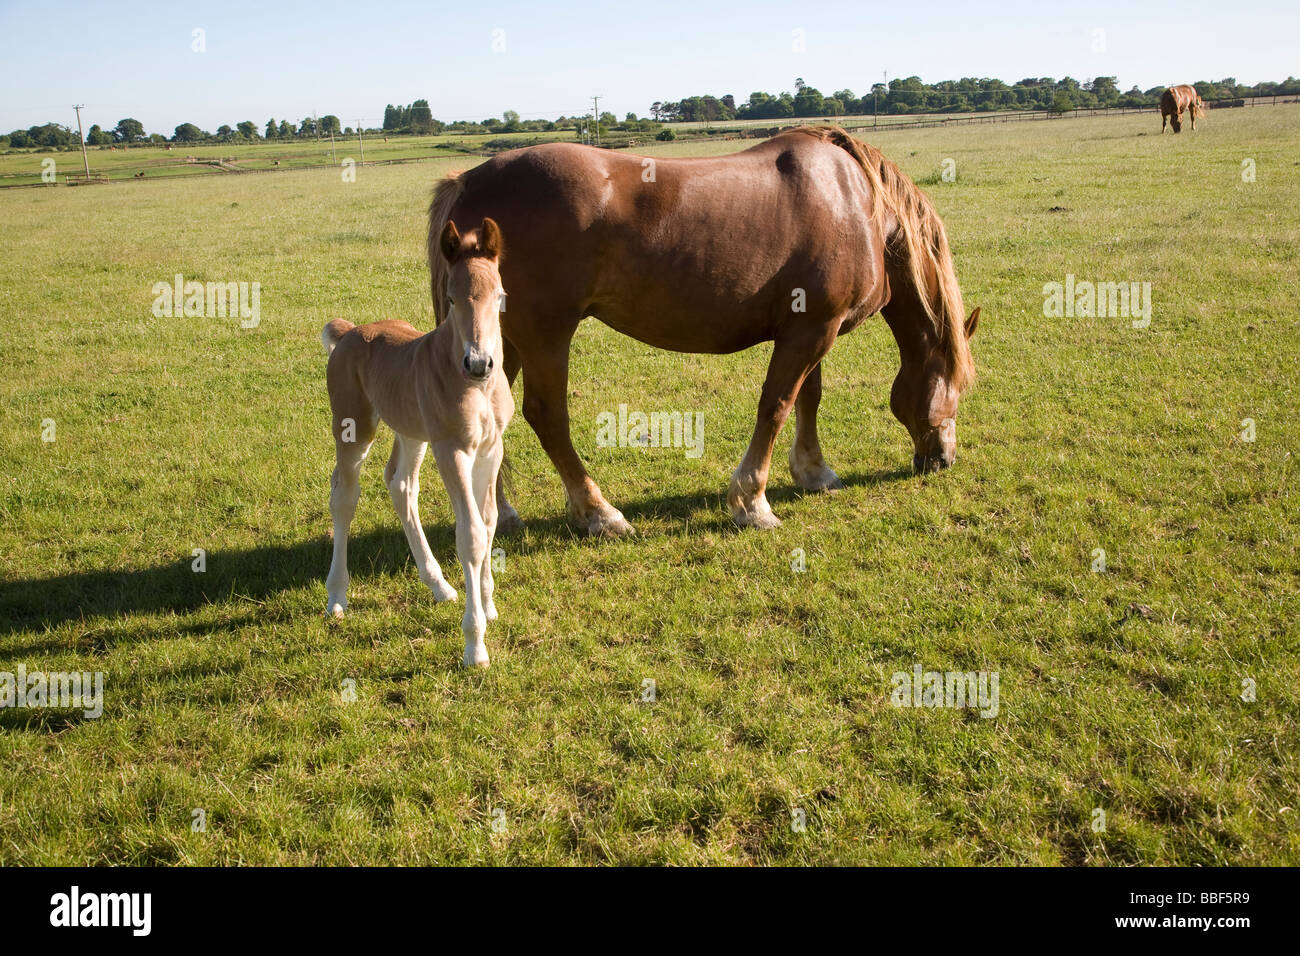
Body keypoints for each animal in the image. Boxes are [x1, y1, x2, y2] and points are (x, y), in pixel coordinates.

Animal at [322, 218, 512, 668]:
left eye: (499, 296)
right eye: (451, 298)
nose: (479, 363)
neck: (477, 389)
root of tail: (349, 332)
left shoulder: (490, 449)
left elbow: (489, 522)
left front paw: (488, 604)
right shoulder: (452, 449)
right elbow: (471, 535)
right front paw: (474, 645)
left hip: (411, 432)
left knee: (401, 485)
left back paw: (439, 585)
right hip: (354, 428)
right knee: (344, 495)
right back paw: (337, 596)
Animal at [427, 126, 978, 536]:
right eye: (957, 385)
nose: (944, 459)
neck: (857, 201)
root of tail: (470, 182)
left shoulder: (809, 328)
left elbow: (809, 397)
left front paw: (814, 472)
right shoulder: (811, 331)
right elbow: (776, 405)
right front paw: (752, 502)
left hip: (501, 339)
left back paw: (502, 514)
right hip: (545, 335)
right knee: (547, 416)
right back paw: (599, 513)